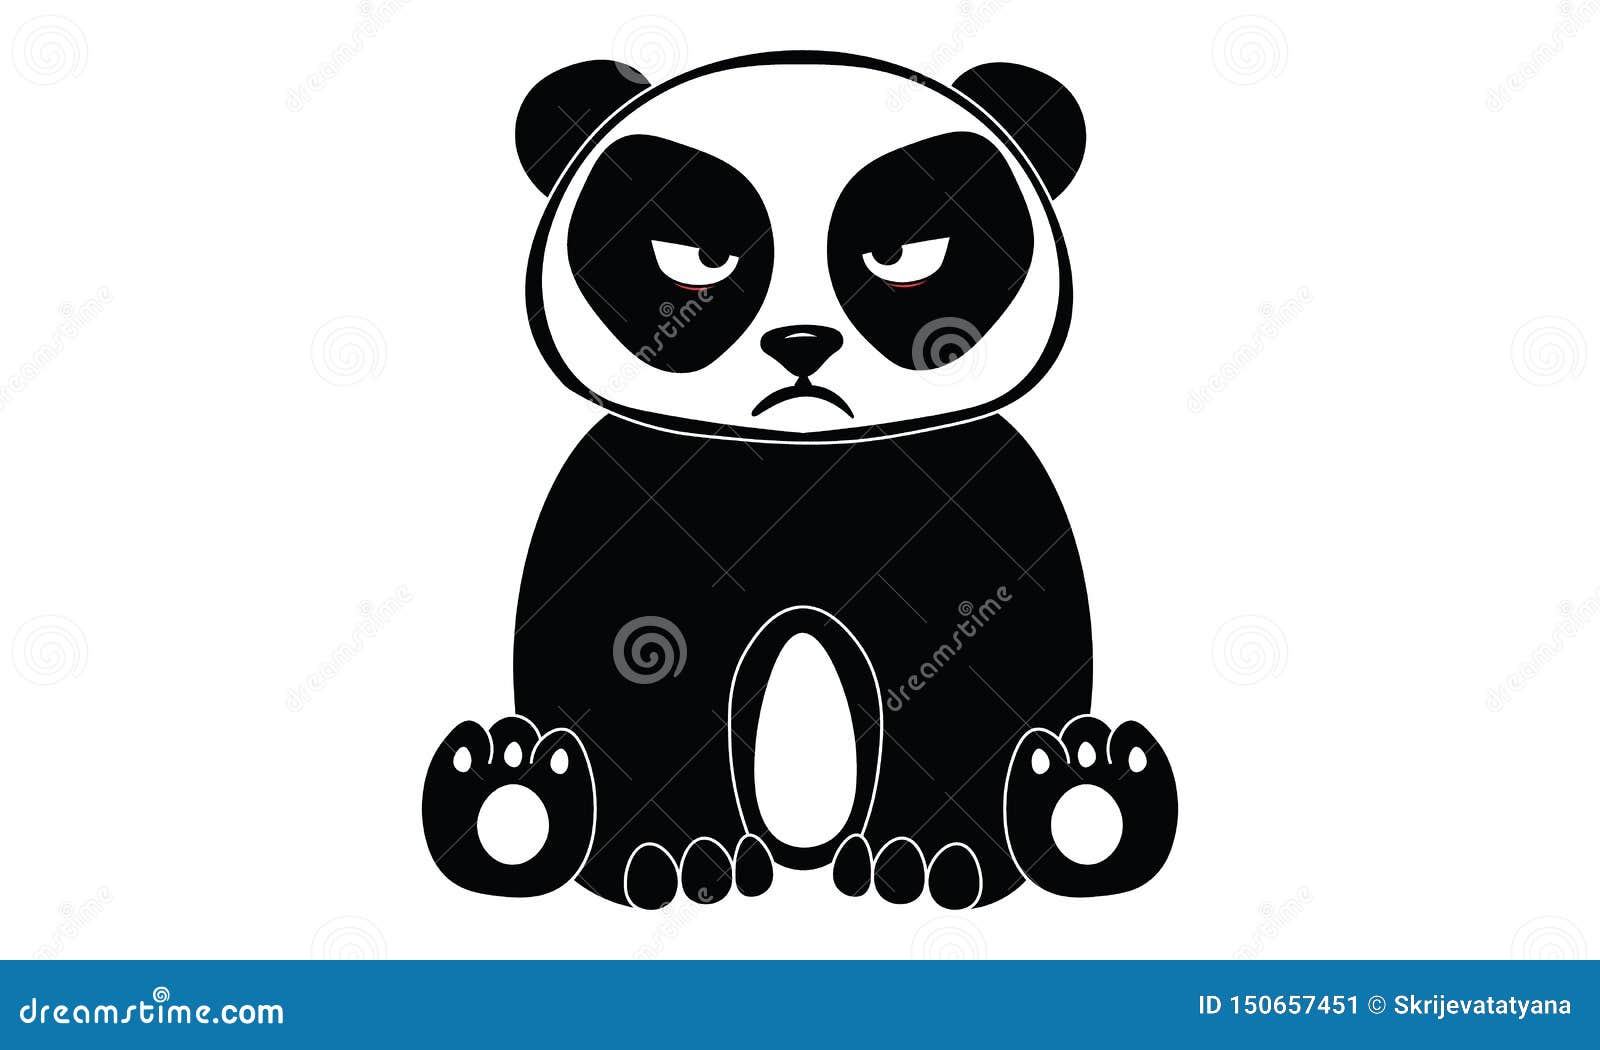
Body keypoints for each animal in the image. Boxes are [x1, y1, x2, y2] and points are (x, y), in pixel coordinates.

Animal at [421, 51, 1178, 910]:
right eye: (695, 259)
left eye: (905, 258)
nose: (802, 344)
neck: (802, 469)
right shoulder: (630, 495)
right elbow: (627, 657)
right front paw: (671, 856)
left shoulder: (972, 490)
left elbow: (976, 659)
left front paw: (935, 857)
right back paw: (516, 789)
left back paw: (1083, 789)